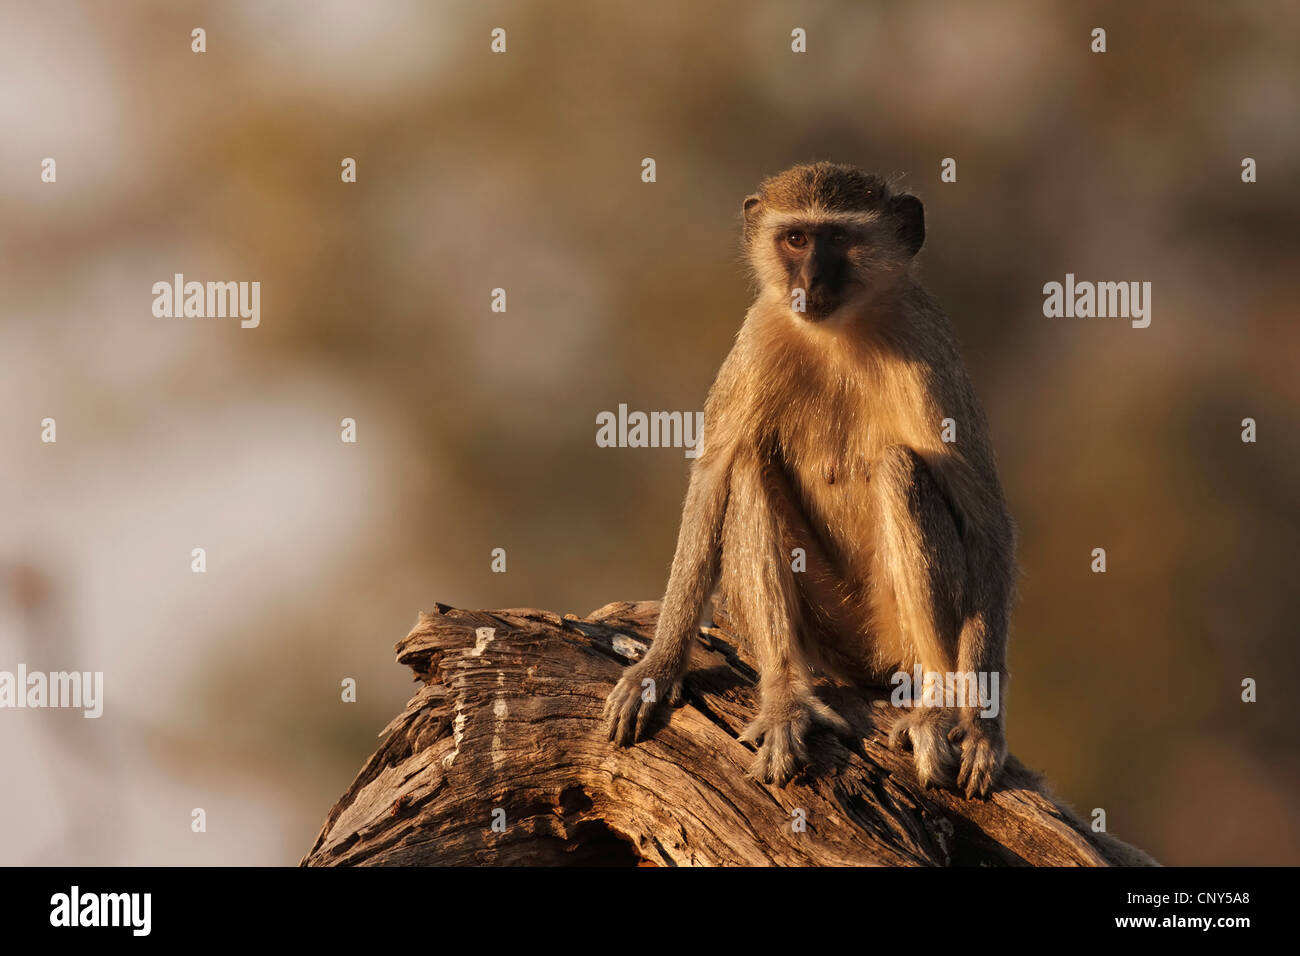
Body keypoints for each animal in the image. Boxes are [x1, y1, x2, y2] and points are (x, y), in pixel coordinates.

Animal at [603, 162, 1017, 798]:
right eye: (796, 239)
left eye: (839, 238)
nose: (810, 281)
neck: (838, 332)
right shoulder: (758, 336)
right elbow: (714, 477)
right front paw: (658, 666)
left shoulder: (930, 348)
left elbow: (985, 526)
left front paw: (980, 726)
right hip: (832, 636)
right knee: (750, 465)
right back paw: (785, 701)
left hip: (887, 636)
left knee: (899, 468)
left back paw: (936, 705)